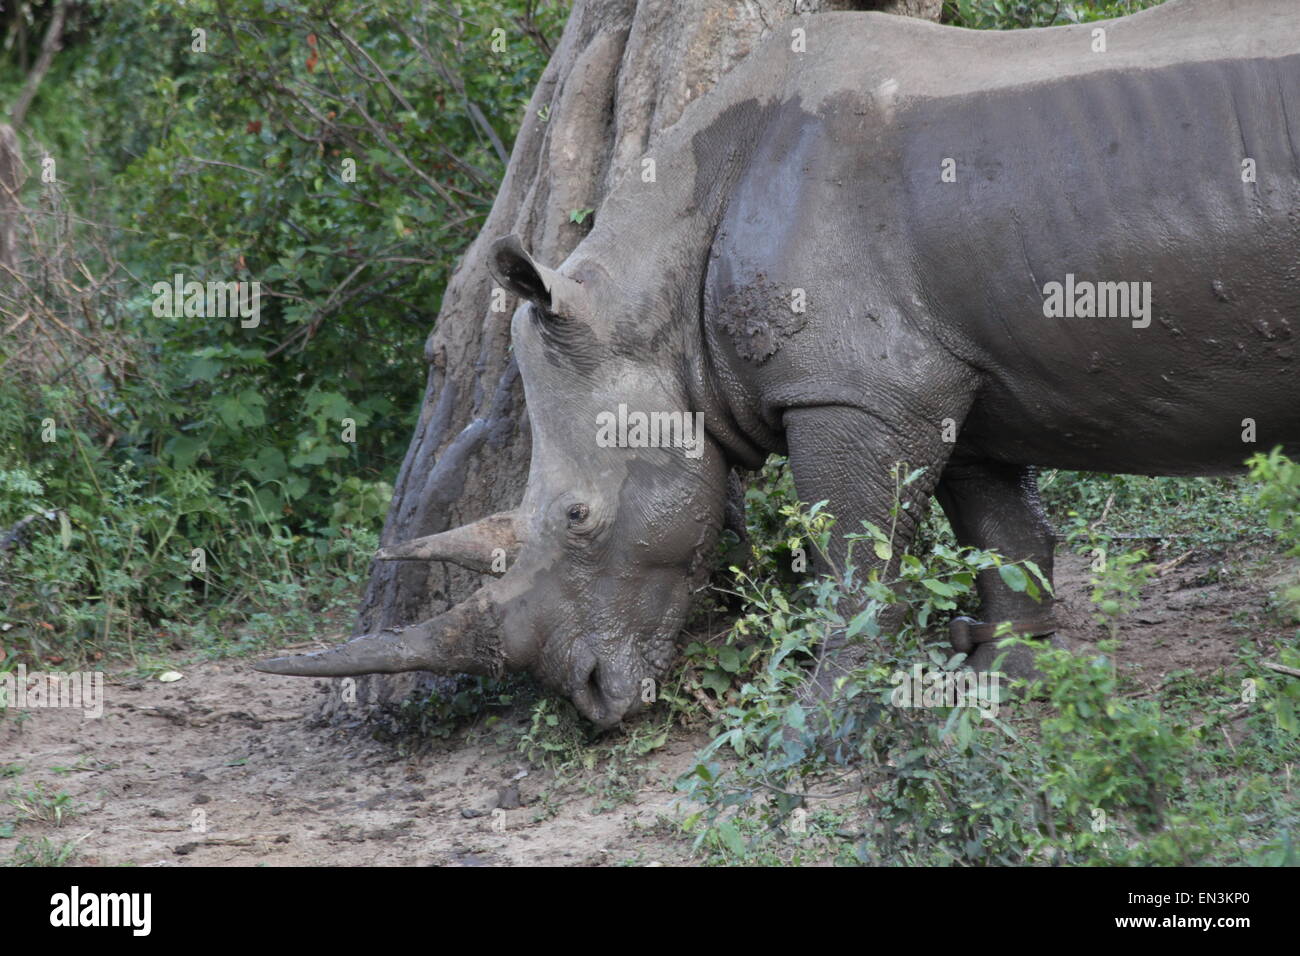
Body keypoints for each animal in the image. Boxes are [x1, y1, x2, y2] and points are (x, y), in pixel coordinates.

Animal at [257, 0, 1300, 728]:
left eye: (578, 518)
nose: (592, 703)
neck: (651, 300)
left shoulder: (855, 389)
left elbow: (853, 553)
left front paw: (827, 710)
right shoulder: (942, 374)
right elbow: (994, 518)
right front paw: (1004, 673)